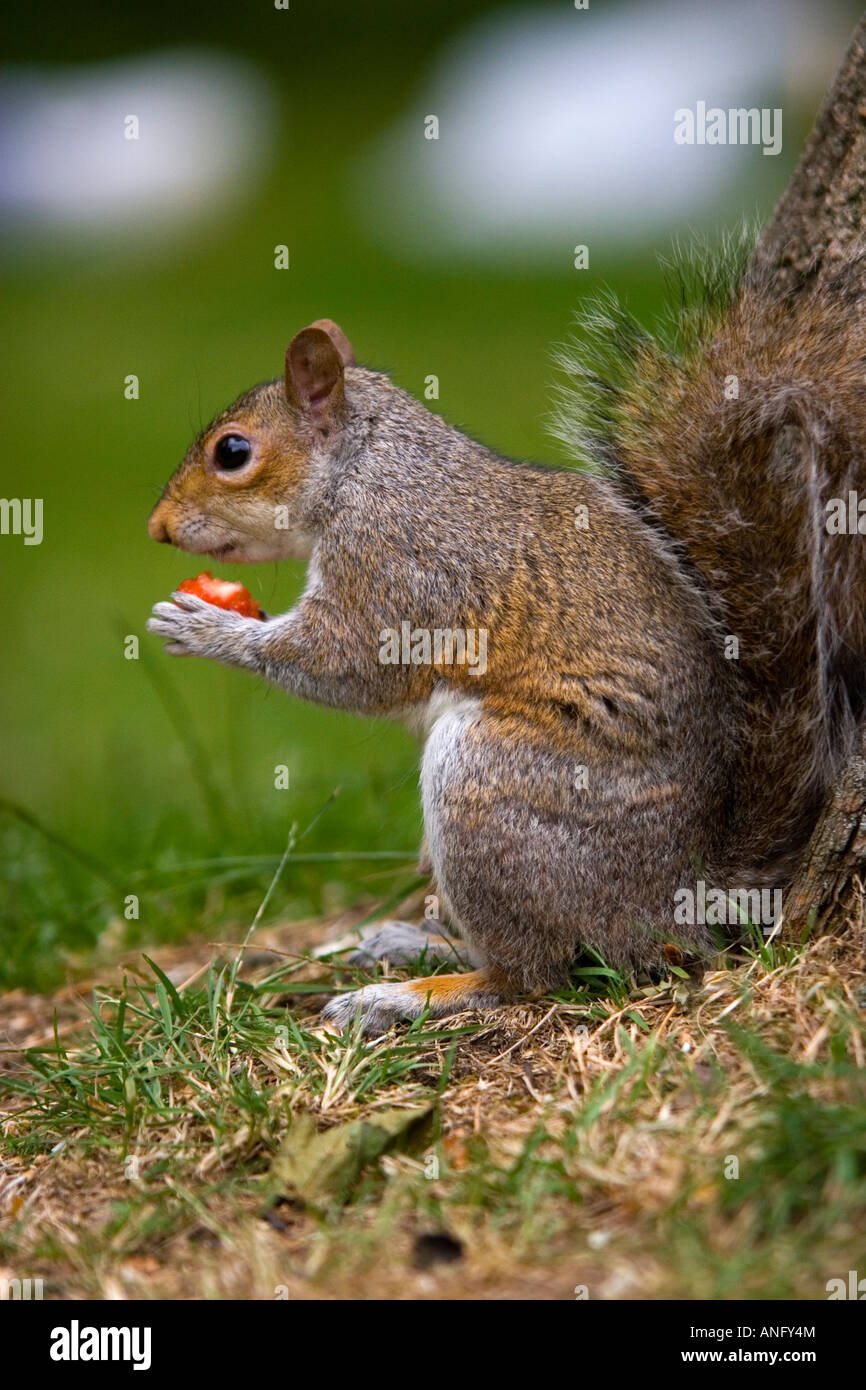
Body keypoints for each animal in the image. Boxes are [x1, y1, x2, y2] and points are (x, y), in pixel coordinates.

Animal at [146, 241, 866, 1035]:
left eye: (232, 452)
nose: (157, 528)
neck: (366, 468)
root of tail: (681, 893)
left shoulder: (398, 566)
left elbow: (348, 665)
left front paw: (205, 628)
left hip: (491, 785)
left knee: (530, 975)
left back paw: (413, 994)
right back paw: (413, 943)